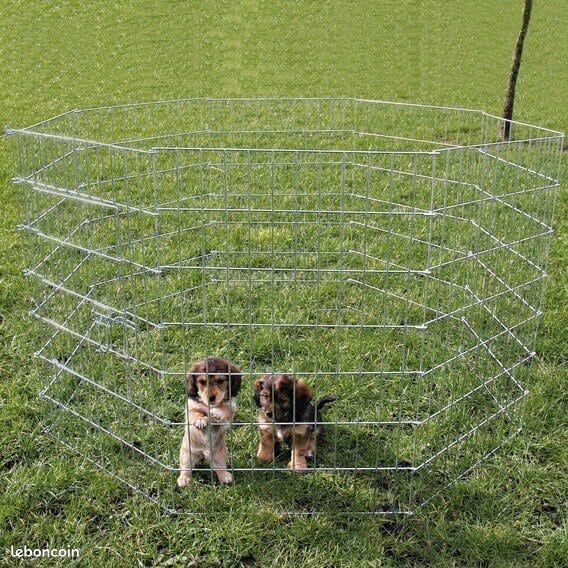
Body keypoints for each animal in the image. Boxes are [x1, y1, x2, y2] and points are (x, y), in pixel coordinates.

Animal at [177, 357, 242, 486]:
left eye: (220, 381)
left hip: (219, 456)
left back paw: (225, 477)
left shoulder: (230, 408)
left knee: (218, 468)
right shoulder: (191, 407)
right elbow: (196, 413)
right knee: (186, 469)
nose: (211, 398)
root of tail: (203, 455)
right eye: (202, 382)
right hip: (187, 455)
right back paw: (183, 480)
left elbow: (225, 410)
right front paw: (201, 420)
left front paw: (217, 413)